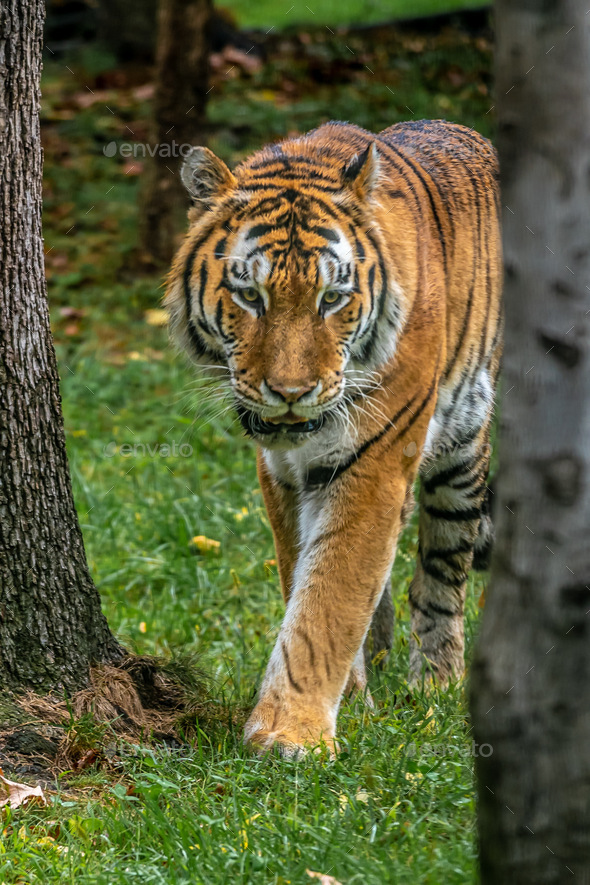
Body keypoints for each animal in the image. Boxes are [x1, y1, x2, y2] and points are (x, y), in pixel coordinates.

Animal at [165, 119, 502, 756]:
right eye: (250, 296)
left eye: (332, 299)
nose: (290, 392)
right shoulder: (280, 472)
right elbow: (305, 574)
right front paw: (347, 700)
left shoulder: (375, 460)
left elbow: (330, 596)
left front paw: (289, 733)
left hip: (462, 455)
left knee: (442, 575)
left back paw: (435, 684)